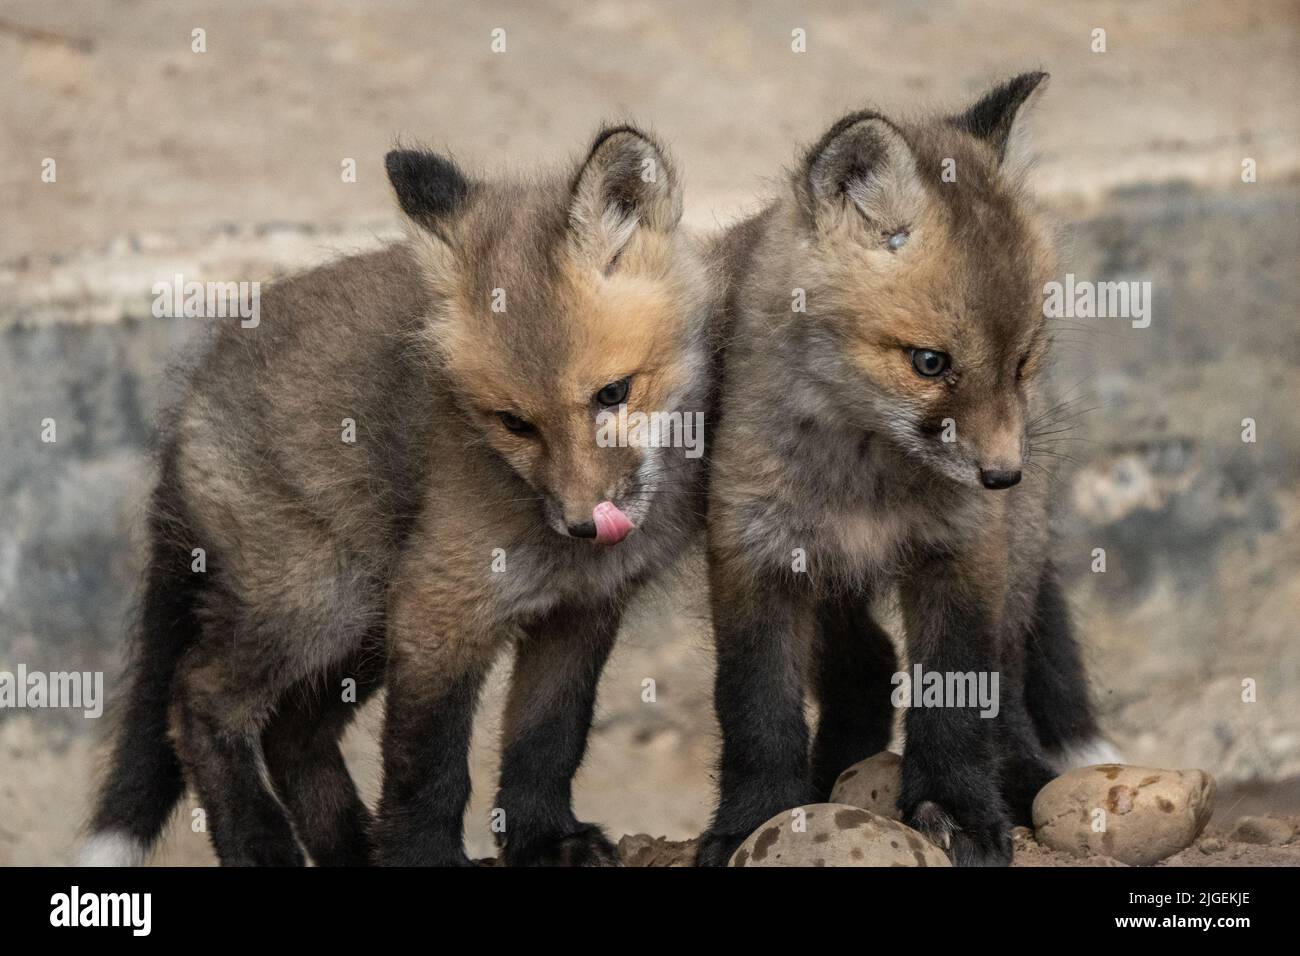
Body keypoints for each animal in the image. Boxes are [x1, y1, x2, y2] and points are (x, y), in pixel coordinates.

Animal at [77, 124, 718, 866]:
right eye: (515, 423)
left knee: (291, 732)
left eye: (613, 393)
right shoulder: (439, 605)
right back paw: (260, 845)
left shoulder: (577, 613)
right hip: (318, 604)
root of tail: (186, 405)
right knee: (196, 697)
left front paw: (545, 838)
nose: (585, 525)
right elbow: (427, 767)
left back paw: (352, 850)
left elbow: (547, 742)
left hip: (361, 626)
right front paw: (422, 855)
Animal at [695, 73, 1117, 867]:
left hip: (1012, 563)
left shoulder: (963, 553)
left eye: (1023, 359)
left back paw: (1018, 776)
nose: (1002, 477)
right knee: (869, 663)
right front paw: (755, 819)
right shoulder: (754, 557)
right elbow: (755, 711)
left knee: (1004, 681)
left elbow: (958, 692)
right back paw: (829, 777)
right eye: (929, 363)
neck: (865, 475)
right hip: (830, 580)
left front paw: (955, 808)